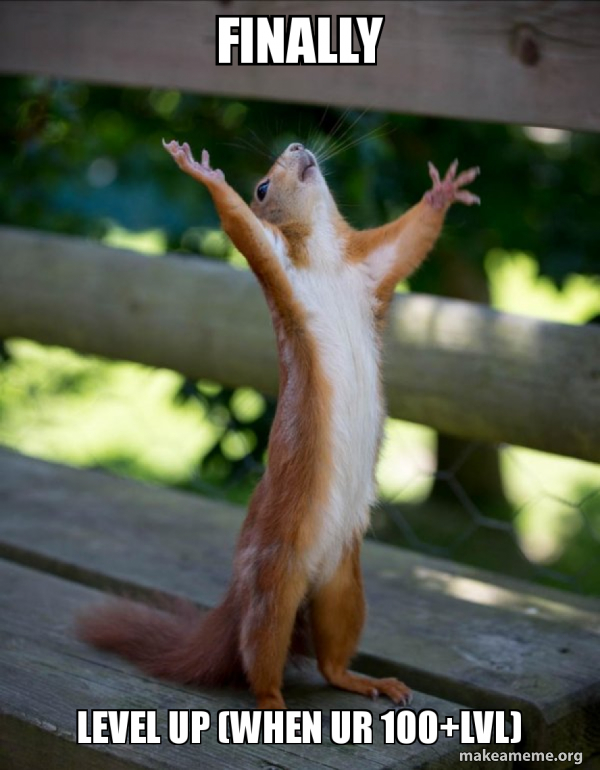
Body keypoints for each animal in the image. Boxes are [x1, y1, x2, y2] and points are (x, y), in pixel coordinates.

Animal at [78, 139, 479, 710]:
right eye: (262, 187)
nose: (296, 146)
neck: (327, 258)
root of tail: (238, 596)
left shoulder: (372, 267)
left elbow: (410, 240)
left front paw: (442, 192)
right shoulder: (276, 264)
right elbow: (240, 225)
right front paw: (204, 173)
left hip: (344, 586)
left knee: (332, 658)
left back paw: (366, 681)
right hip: (274, 584)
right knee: (259, 655)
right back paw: (273, 701)